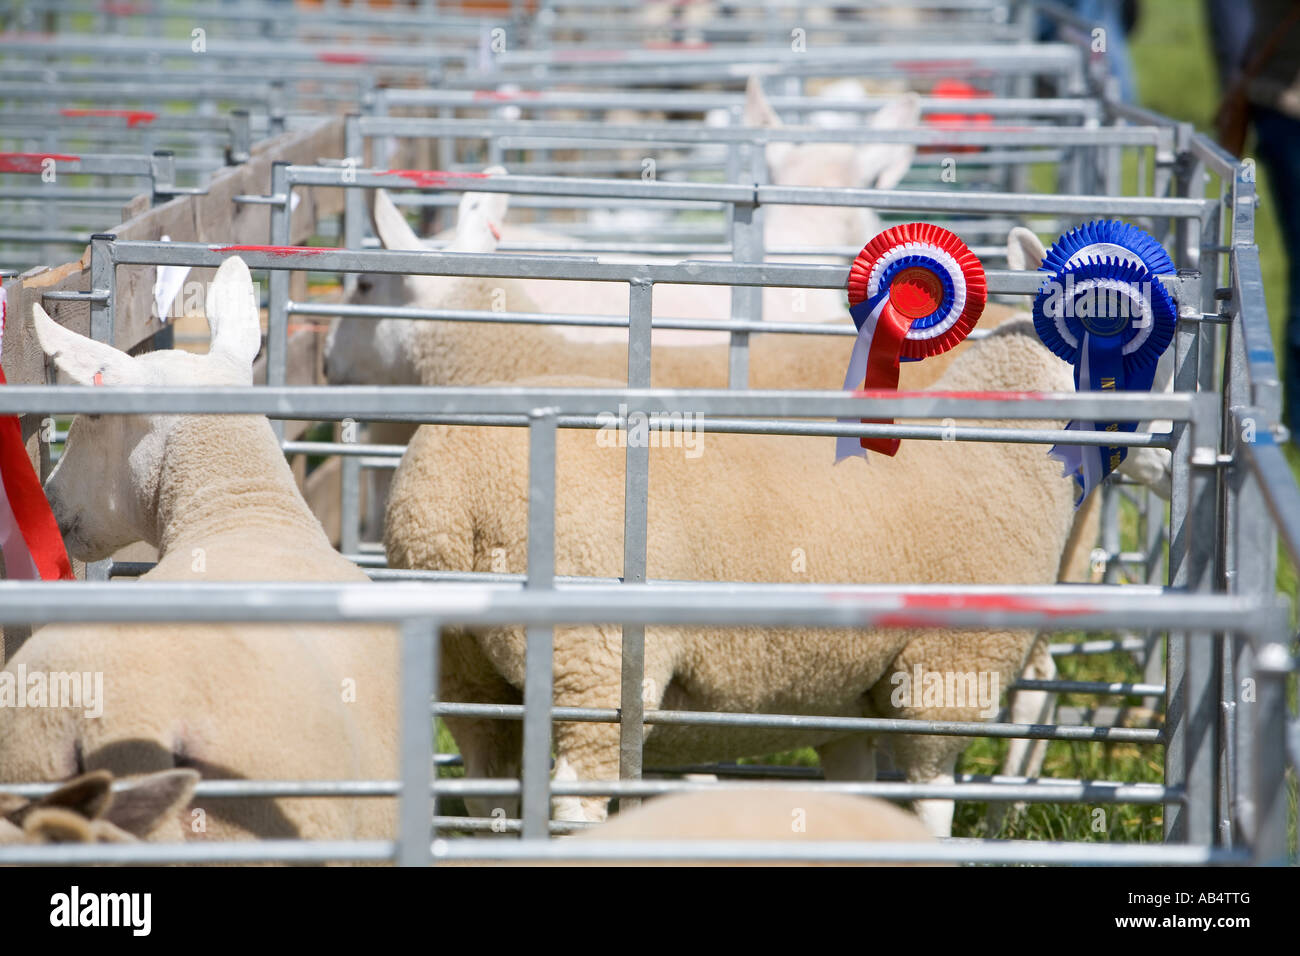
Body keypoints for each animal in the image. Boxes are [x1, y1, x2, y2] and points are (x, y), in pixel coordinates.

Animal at [383, 316, 1092, 837]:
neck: (1000, 455)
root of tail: (454, 496)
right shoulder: (946, 669)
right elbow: (931, 803)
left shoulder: (843, 696)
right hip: (591, 664)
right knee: (574, 802)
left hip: (469, 675)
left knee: (490, 792)